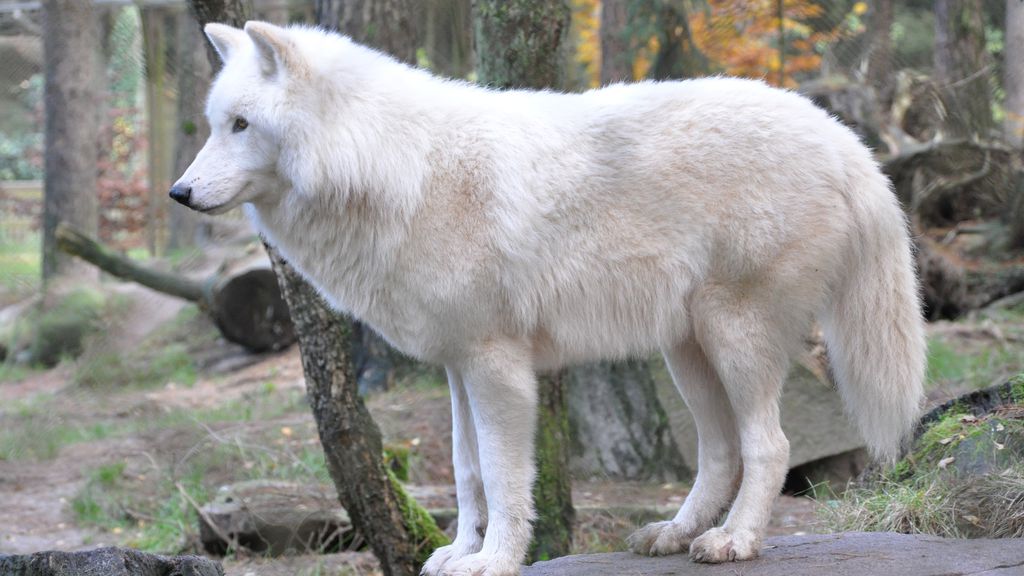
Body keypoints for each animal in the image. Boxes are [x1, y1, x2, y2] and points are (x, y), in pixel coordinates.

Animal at [172, 21, 926, 576]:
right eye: (213, 123)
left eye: (241, 125)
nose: (179, 193)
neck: (395, 167)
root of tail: (845, 137)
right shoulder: (457, 366)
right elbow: (466, 470)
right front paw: (459, 553)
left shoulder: (496, 366)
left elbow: (506, 478)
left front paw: (496, 561)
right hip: (687, 352)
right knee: (721, 453)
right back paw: (674, 534)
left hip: (734, 337)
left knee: (769, 446)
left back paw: (733, 542)